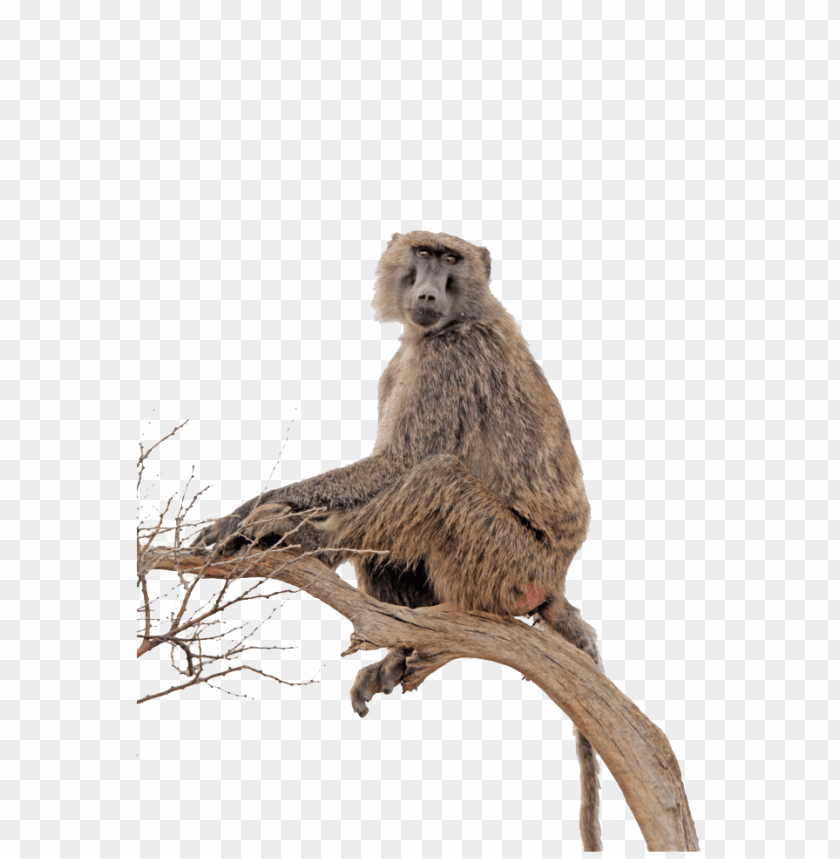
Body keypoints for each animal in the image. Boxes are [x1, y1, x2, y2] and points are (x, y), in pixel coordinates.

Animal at [192, 231, 603, 851]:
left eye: (451, 259)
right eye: (424, 253)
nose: (429, 290)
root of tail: (556, 578)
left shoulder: (449, 359)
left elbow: (400, 464)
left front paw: (255, 516)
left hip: (506, 562)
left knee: (436, 477)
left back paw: (310, 542)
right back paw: (400, 649)